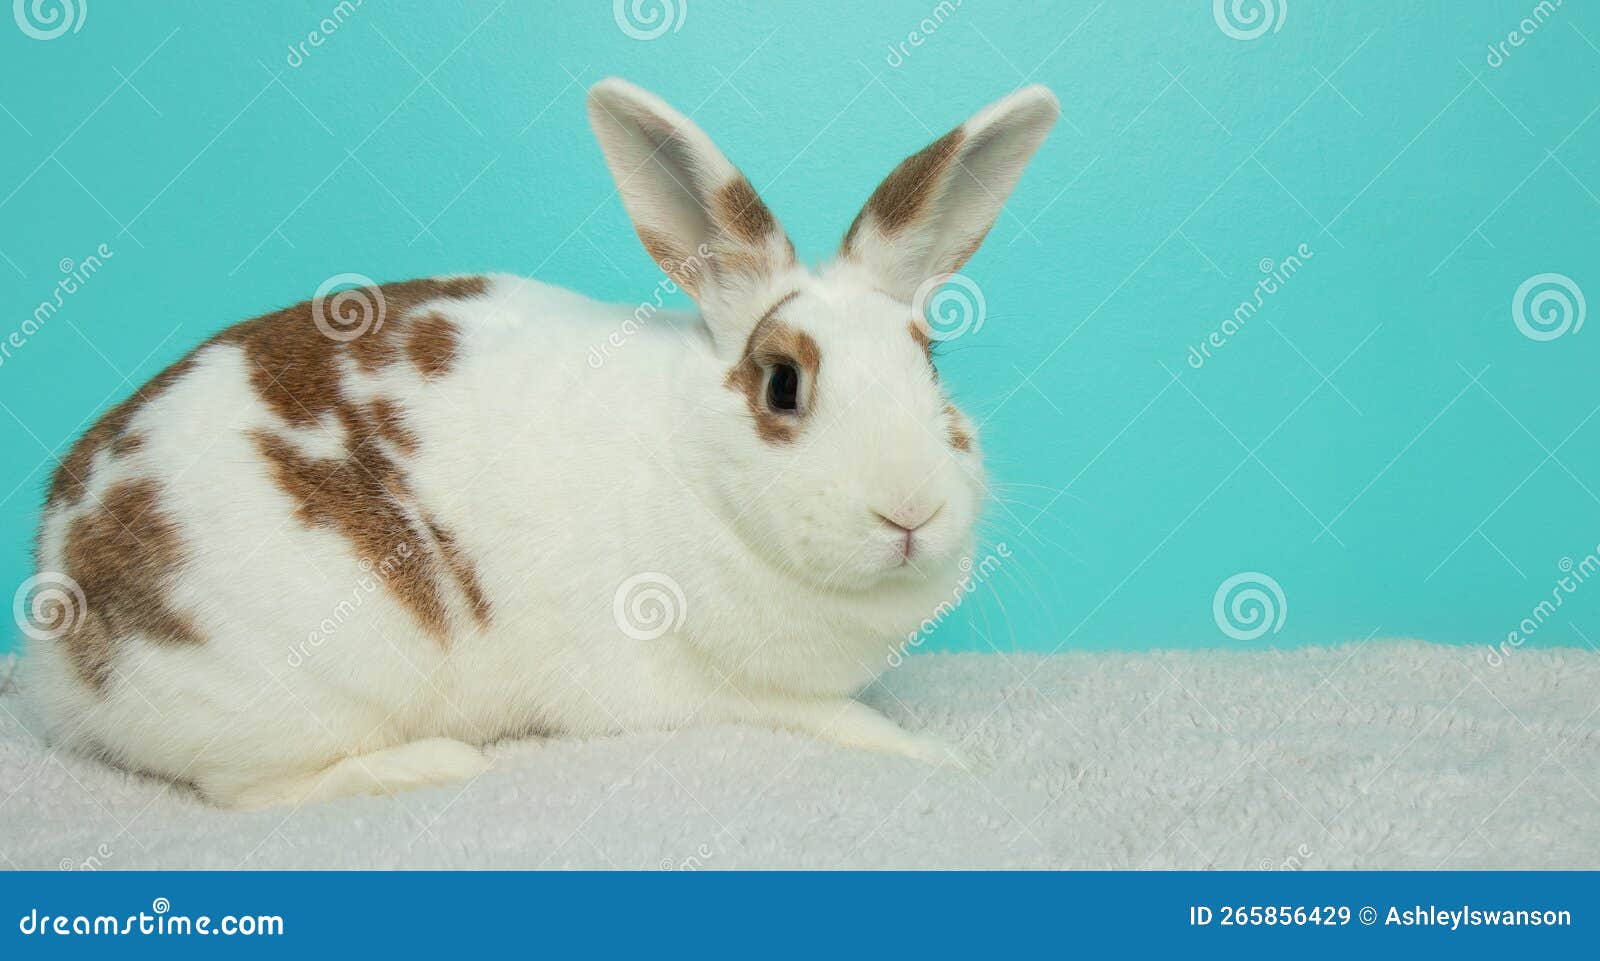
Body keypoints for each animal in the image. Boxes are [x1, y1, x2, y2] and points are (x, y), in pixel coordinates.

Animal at [25, 78, 1058, 809]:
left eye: (931, 366)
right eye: (782, 384)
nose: (911, 510)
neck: (692, 461)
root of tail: (57, 635)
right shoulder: (703, 687)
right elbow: (846, 722)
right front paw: (939, 754)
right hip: (305, 686)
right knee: (247, 791)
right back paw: (434, 766)